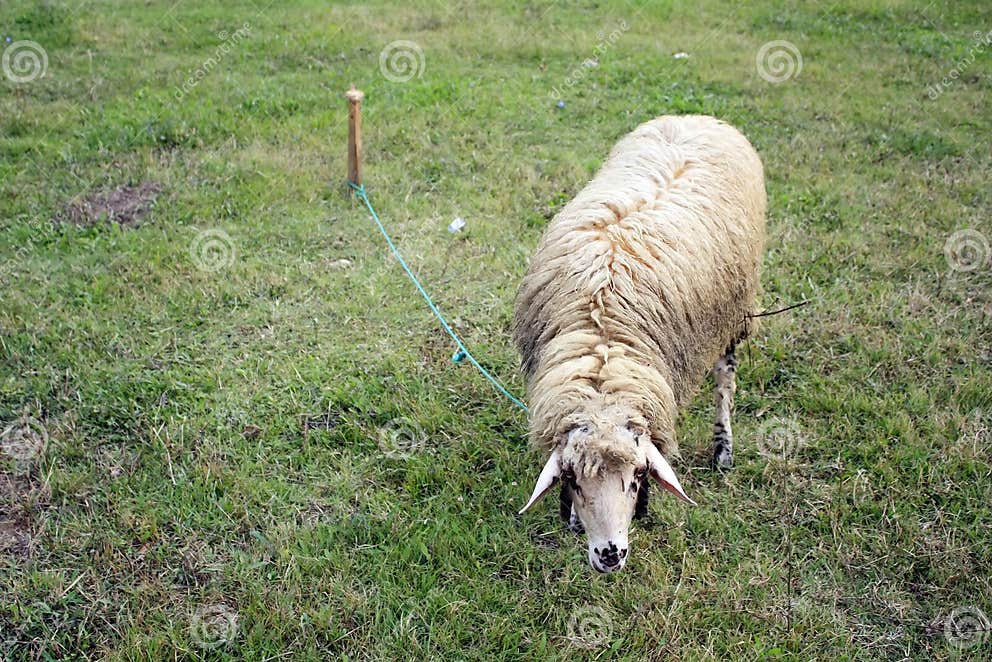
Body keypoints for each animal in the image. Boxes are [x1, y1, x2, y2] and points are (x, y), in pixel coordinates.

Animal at [514, 115, 766, 573]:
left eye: (637, 478)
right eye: (573, 478)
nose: (610, 554)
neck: (603, 350)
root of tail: (692, 117)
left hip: (733, 311)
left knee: (725, 375)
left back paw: (723, 448)